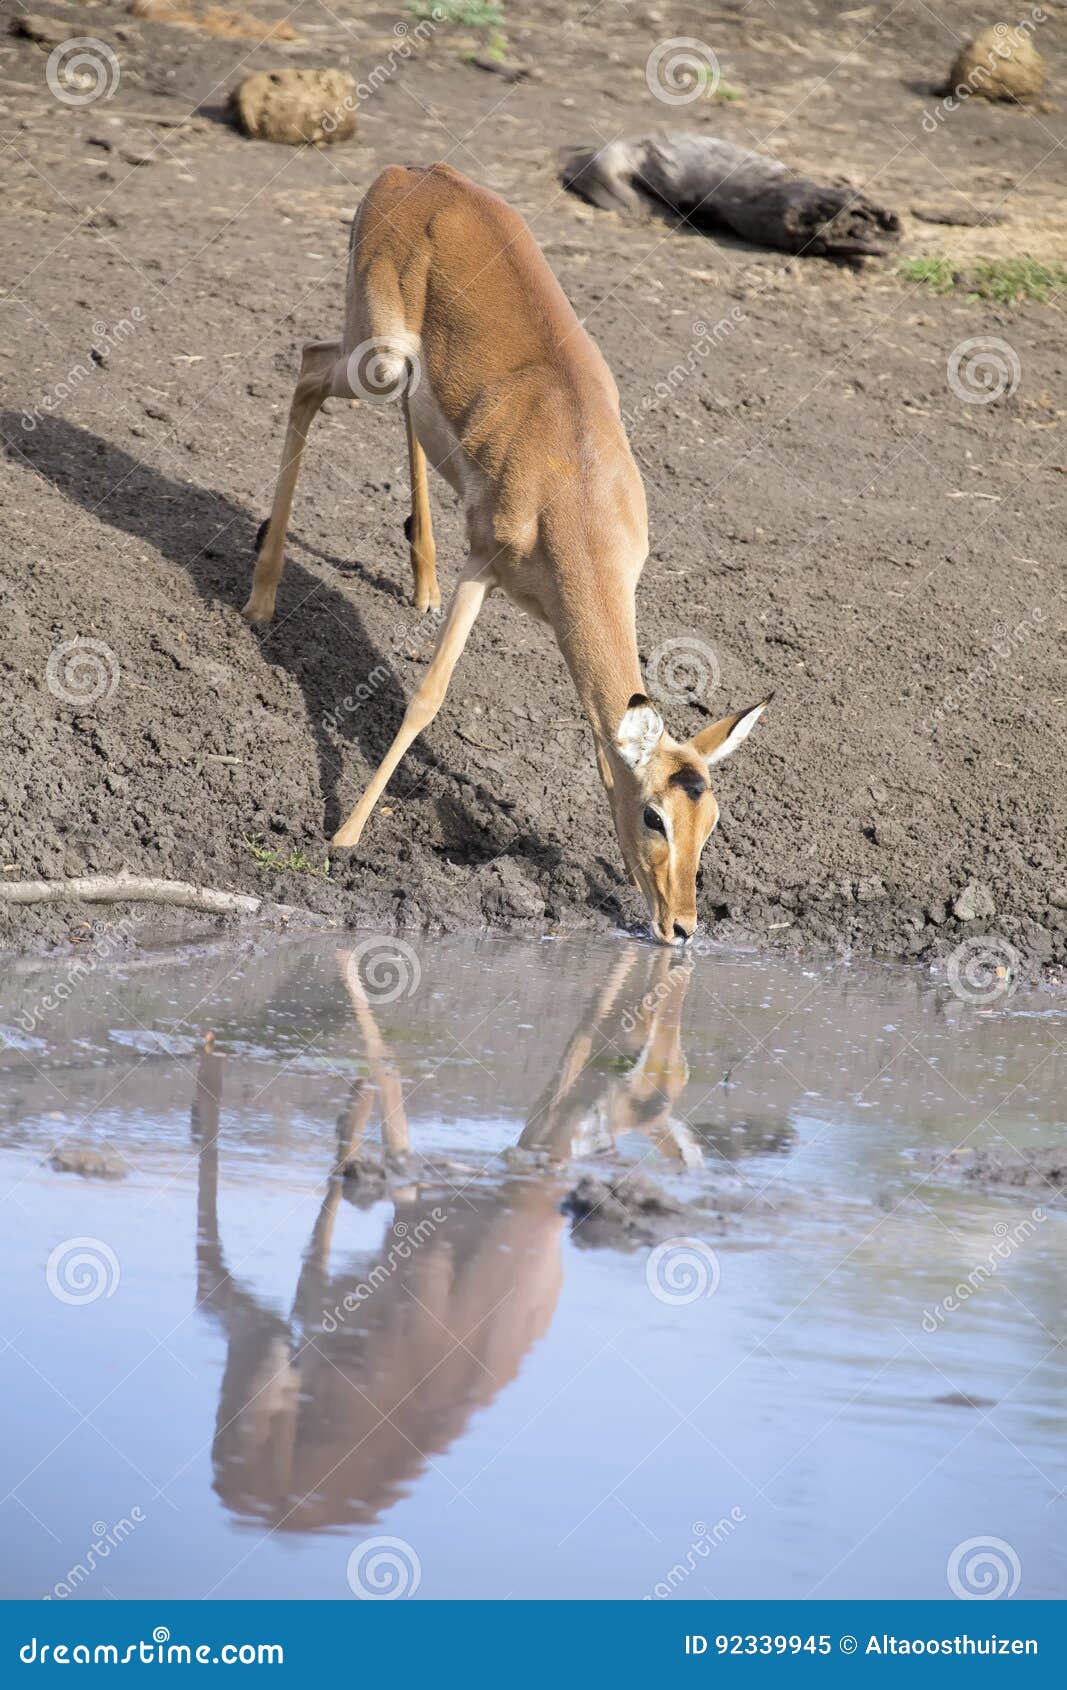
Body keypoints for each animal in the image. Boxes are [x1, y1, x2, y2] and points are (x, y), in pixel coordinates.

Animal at [244, 163, 770, 944]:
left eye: (709, 821)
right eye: (655, 816)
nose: (682, 928)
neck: (577, 496)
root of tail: (413, 174)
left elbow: (598, 742)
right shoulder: (482, 567)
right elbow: (426, 698)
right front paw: (343, 837)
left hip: (402, 378)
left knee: (389, 408)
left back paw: (417, 579)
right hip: (375, 360)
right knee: (308, 369)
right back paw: (260, 597)